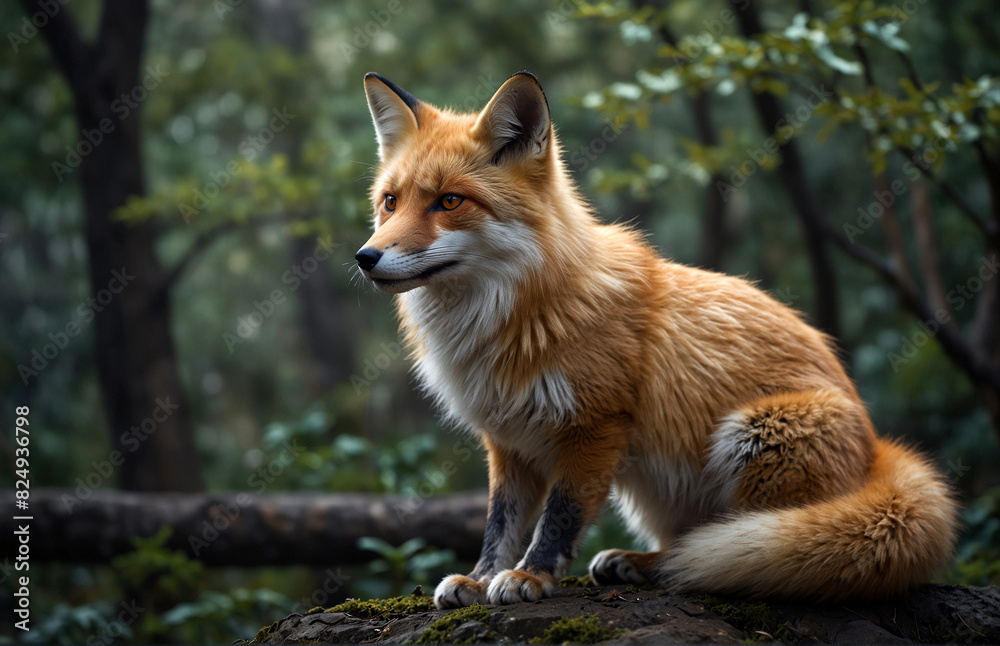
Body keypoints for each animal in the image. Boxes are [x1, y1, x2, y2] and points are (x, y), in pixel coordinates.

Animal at [354, 71, 958, 609]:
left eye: (449, 202)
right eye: (390, 202)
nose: (366, 257)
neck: (516, 319)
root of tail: (877, 449)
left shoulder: (595, 427)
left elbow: (559, 518)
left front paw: (530, 578)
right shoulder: (508, 441)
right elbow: (499, 525)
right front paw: (480, 580)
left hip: (752, 435)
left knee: (735, 546)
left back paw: (666, 566)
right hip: (652, 486)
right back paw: (637, 563)